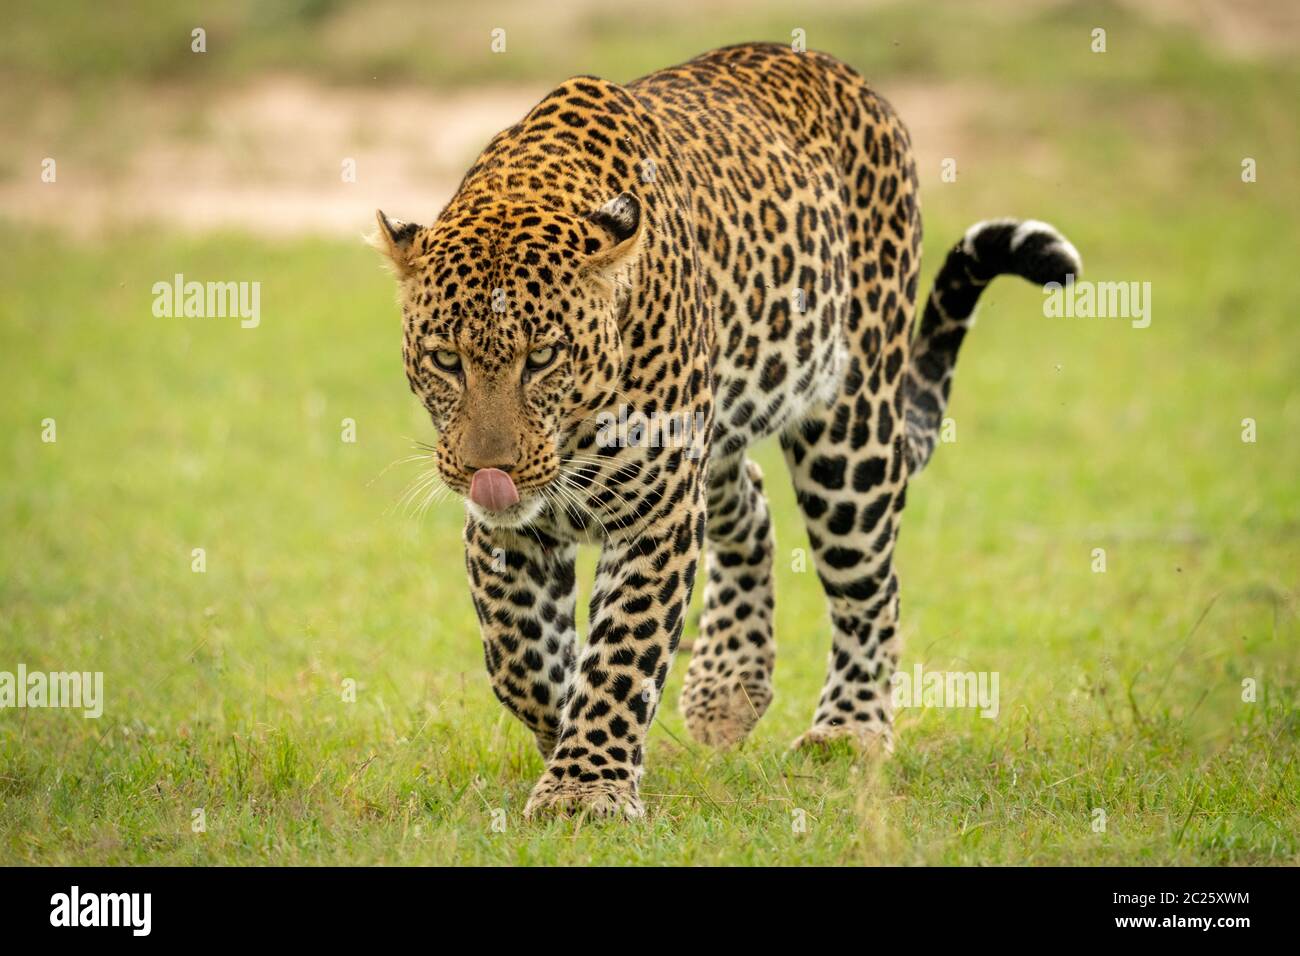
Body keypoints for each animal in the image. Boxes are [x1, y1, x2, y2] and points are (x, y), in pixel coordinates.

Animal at [371, 42, 1081, 819]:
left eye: (543, 358)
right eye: (446, 359)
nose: (484, 471)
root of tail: (835, 68)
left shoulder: (654, 511)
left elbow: (620, 655)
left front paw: (585, 787)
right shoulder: (512, 529)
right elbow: (517, 656)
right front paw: (566, 734)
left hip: (848, 432)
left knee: (868, 587)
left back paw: (849, 729)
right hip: (717, 429)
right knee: (751, 509)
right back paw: (728, 689)